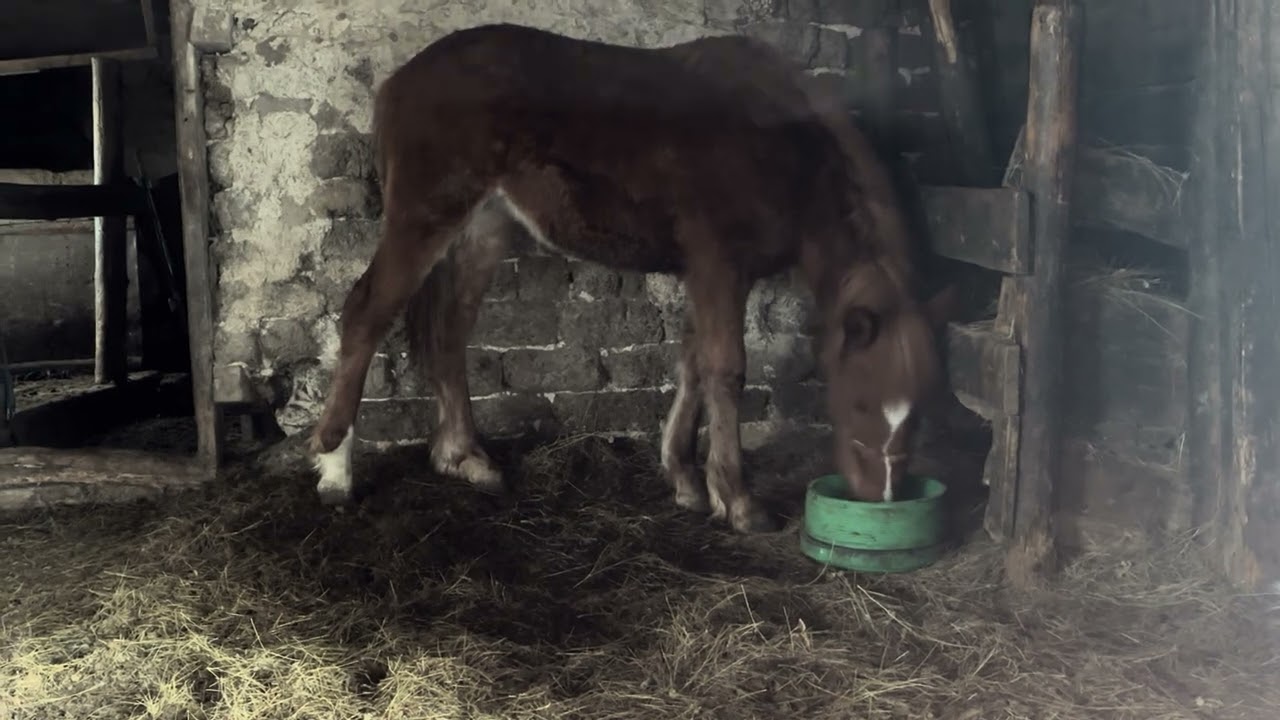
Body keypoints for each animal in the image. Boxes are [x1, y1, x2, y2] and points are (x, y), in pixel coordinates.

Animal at [308, 23, 954, 534]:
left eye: (922, 410)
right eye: (863, 400)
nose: (880, 498)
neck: (779, 145)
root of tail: (397, 83)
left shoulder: (702, 272)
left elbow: (694, 365)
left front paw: (688, 482)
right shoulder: (721, 266)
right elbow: (726, 371)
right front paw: (738, 501)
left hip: (482, 228)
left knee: (448, 333)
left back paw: (466, 458)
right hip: (426, 215)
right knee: (365, 311)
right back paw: (335, 469)